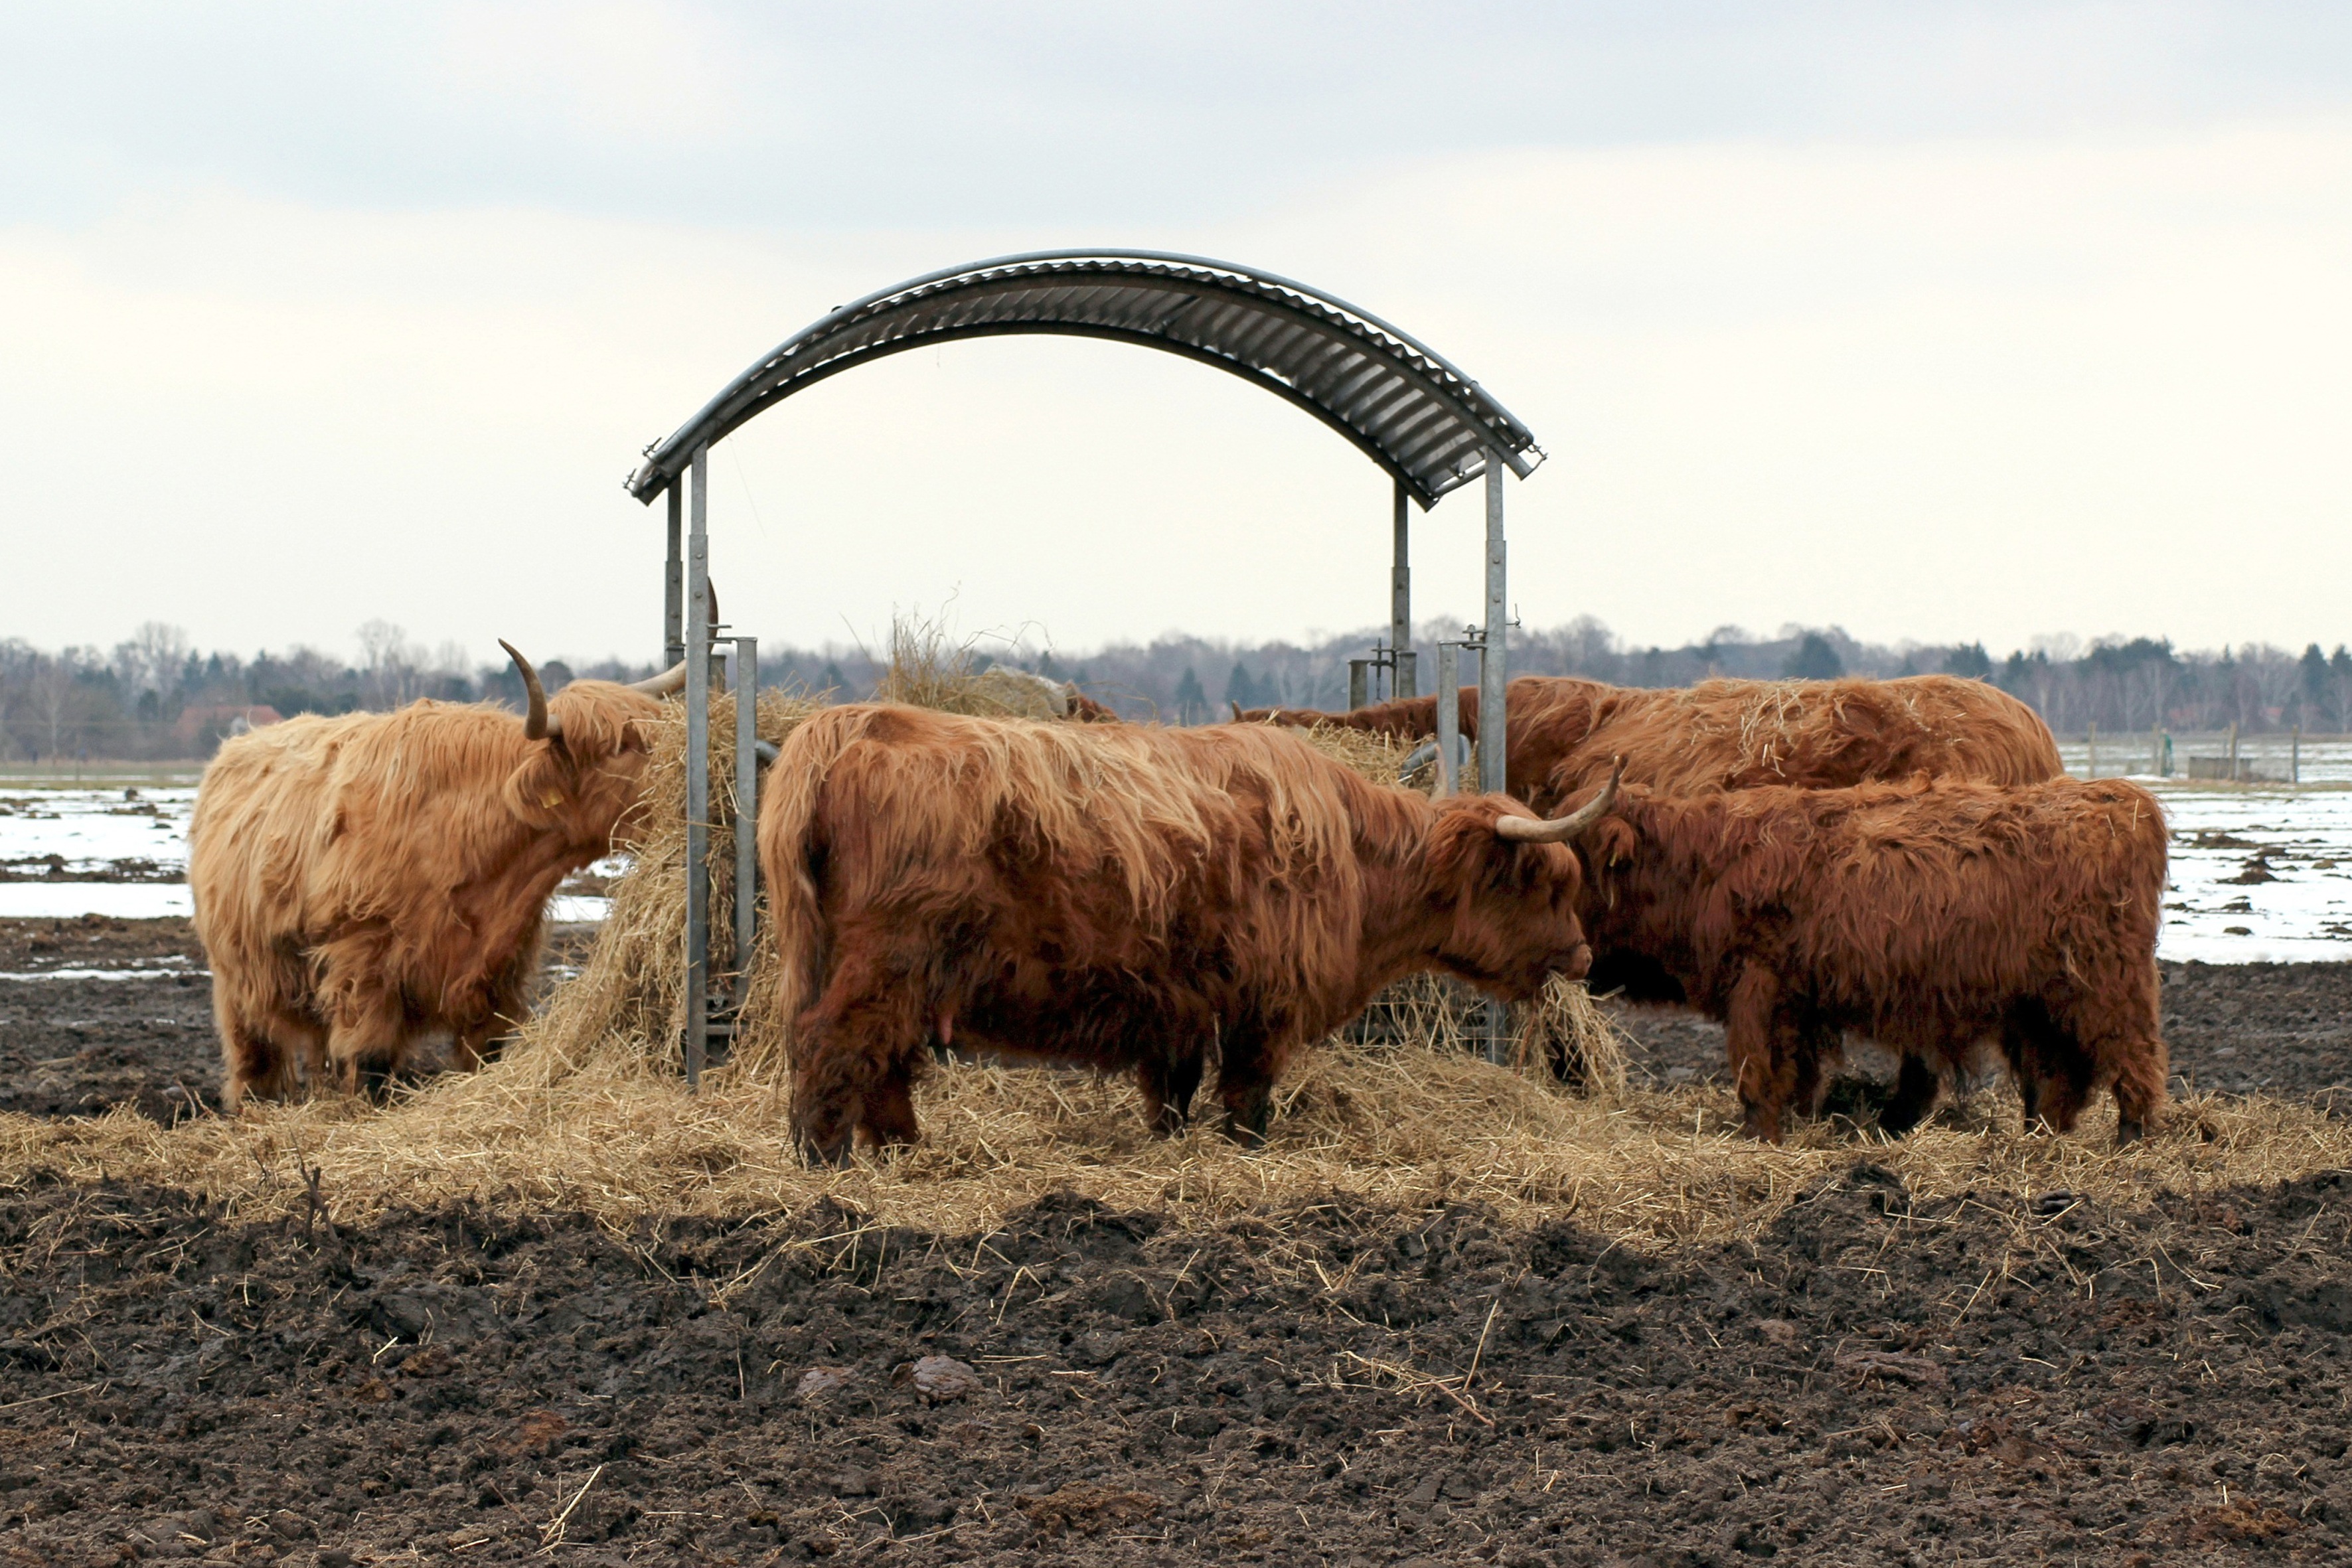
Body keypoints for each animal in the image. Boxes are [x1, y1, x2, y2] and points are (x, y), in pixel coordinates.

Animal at [189, 644, 685, 1106]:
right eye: (620, 746)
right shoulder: (363, 965)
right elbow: (370, 1065)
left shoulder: (499, 973)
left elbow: (486, 1056)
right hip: (239, 975)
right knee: (252, 1054)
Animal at [758, 704, 1622, 1162]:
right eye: (1546, 883)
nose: (1583, 955)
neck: (1357, 862)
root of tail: (853, 722)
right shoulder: (1262, 1007)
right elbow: (1248, 1101)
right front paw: (1246, 1154)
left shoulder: (1175, 1007)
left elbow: (1171, 1096)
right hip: (887, 962)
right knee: (836, 1049)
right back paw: (826, 1162)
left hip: (890, 972)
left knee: (881, 1066)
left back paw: (904, 1152)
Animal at [1563, 775, 2169, 1145]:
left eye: (1572, 861)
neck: (1700, 867)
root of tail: (2122, 800)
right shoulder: (1797, 1000)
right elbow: (1794, 1075)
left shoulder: (1758, 984)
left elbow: (1756, 1074)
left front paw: (1759, 1139)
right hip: (2041, 1000)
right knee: (2056, 1078)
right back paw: (2041, 1140)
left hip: (2107, 980)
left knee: (2135, 1057)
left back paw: (2129, 1140)